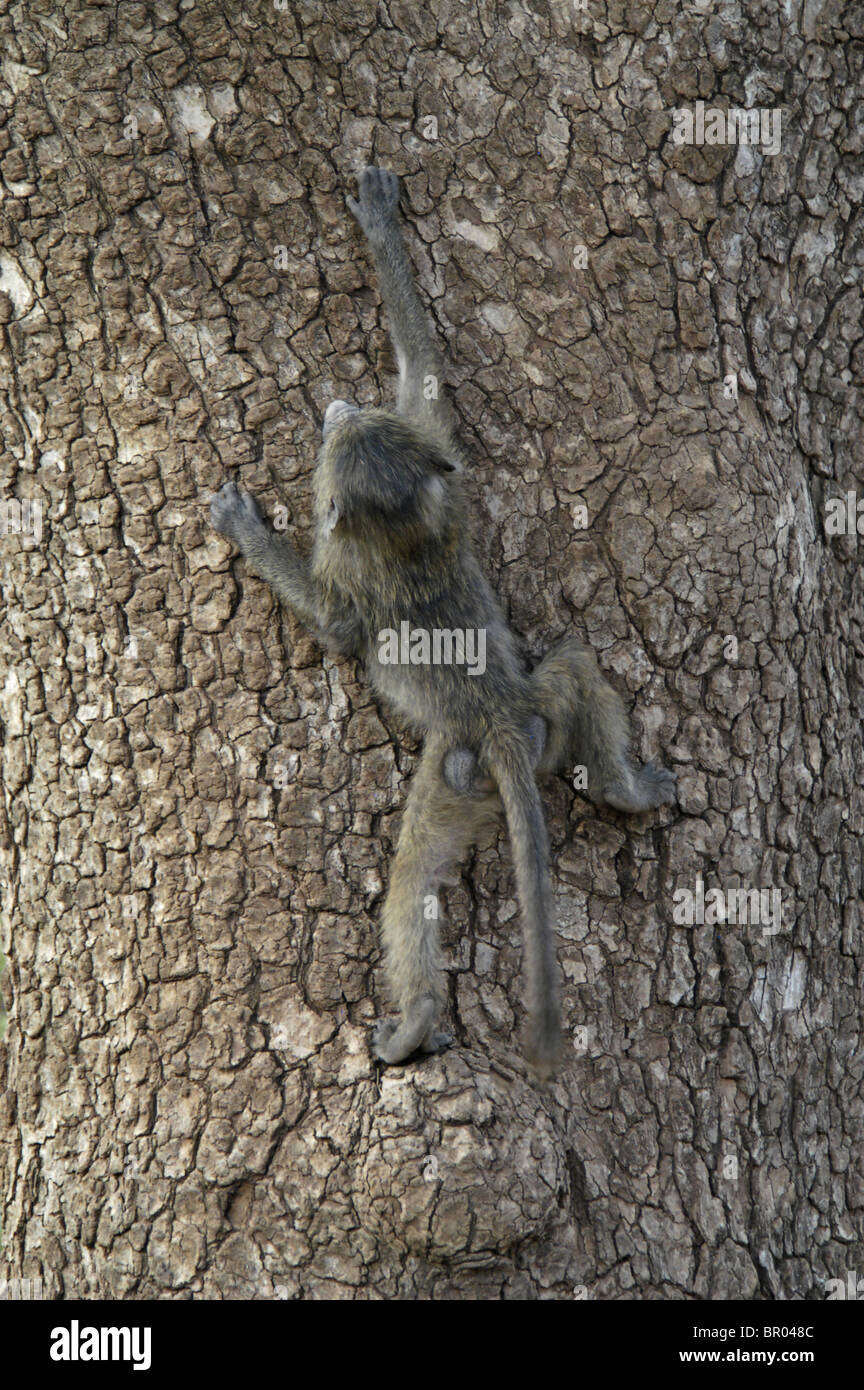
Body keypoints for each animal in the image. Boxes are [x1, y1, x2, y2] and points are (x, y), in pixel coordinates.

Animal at [210, 166, 676, 1074]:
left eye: (340, 438)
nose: (333, 406)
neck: (402, 535)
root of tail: (499, 722)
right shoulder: (443, 474)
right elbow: (424, 372)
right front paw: (382, 226)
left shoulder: (352, 575)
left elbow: (335, 627)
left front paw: (245, 527)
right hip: (541, 711)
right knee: (575, 666)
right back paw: (625, 787)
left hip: (454, 775)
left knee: (412, 876)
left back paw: (418, 1017)